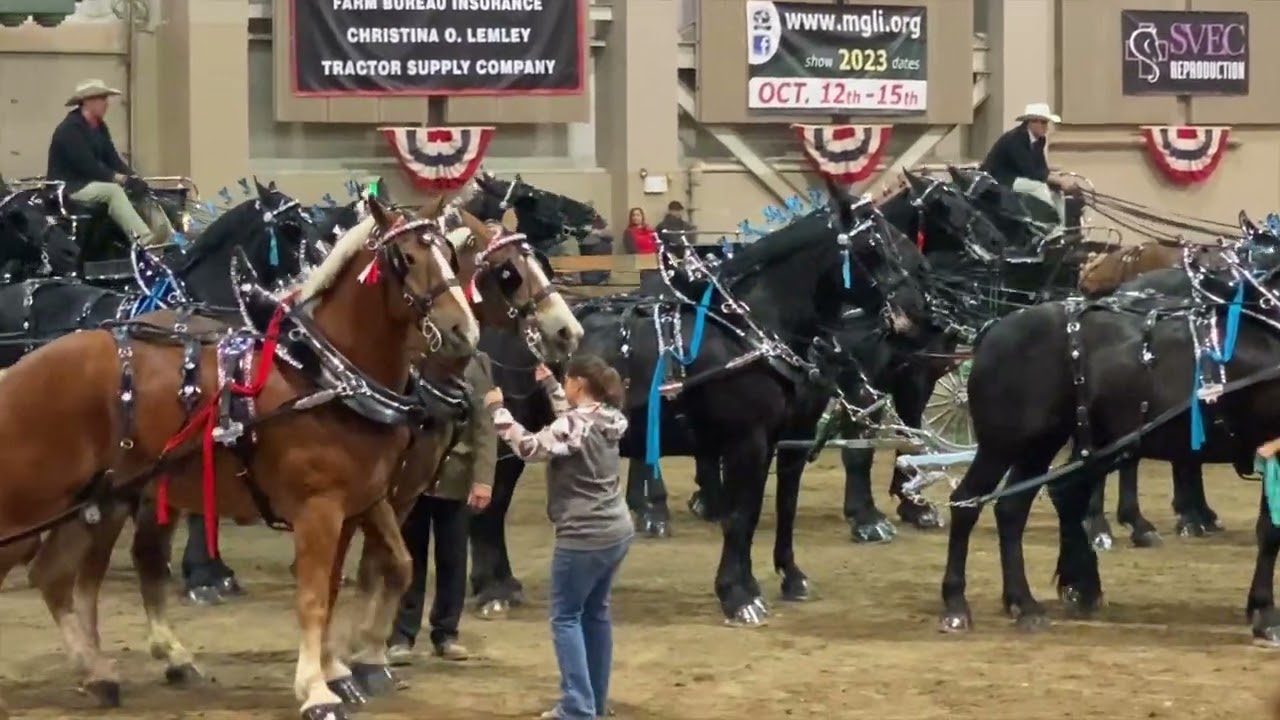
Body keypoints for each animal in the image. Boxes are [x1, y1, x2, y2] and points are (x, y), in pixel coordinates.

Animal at [0, 196, 478, 719]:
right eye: (406, 258)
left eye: (450, 257)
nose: (462, 331)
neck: (326, 374)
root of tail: (24, 363)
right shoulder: (319, 509)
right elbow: (313, 597)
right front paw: (317, 690)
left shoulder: (359, 506)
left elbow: (360, 578)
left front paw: (341, 670)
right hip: (31, 501)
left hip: (99, 498)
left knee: (55, 574)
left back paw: (99, 673)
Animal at [937, 246, 1280, 641]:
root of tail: (994, 329)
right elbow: (1271, 531)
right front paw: (1266, 613)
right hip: (1002, 444)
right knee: (967, 503)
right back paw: (956, 605)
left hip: (1044, 444)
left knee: (1013, 509)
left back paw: (1027, 602)